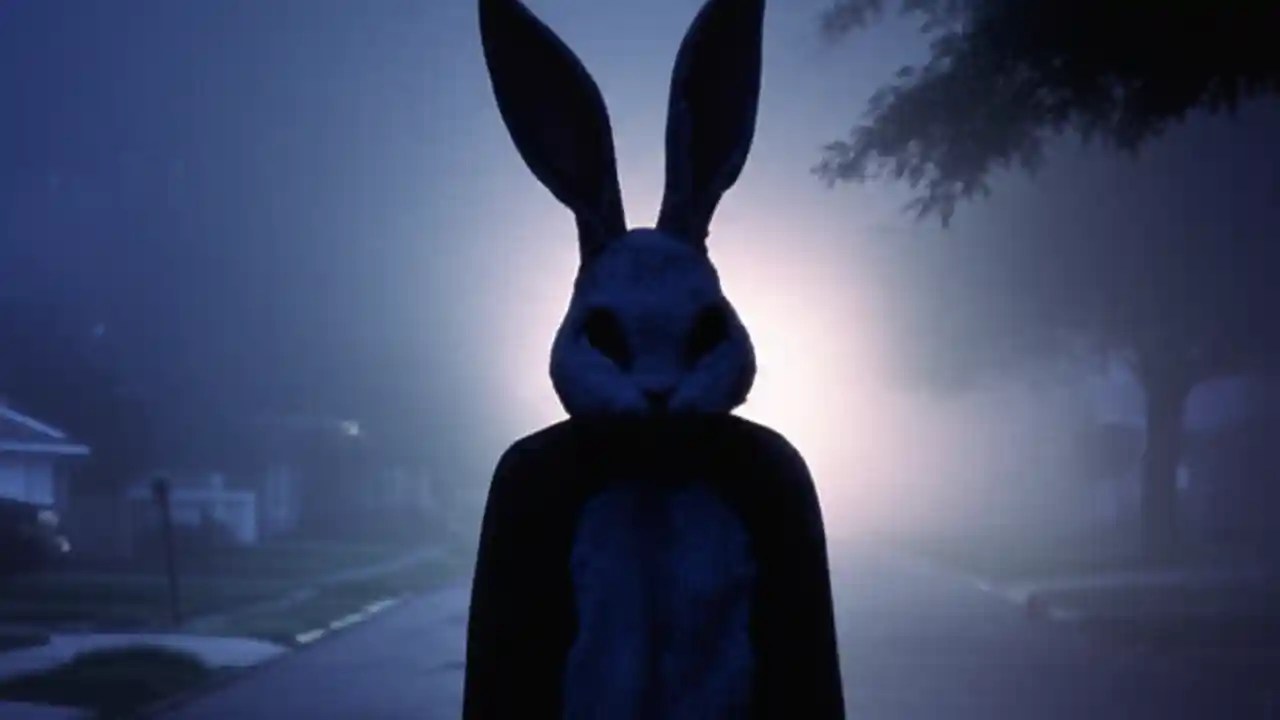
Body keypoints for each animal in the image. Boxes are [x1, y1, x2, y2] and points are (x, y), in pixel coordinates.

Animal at [464, 0, 845, 718]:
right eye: (603, 334)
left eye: (708, 329)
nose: (660, 393)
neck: (656, 459)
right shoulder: (516, 492)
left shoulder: (785, 483)